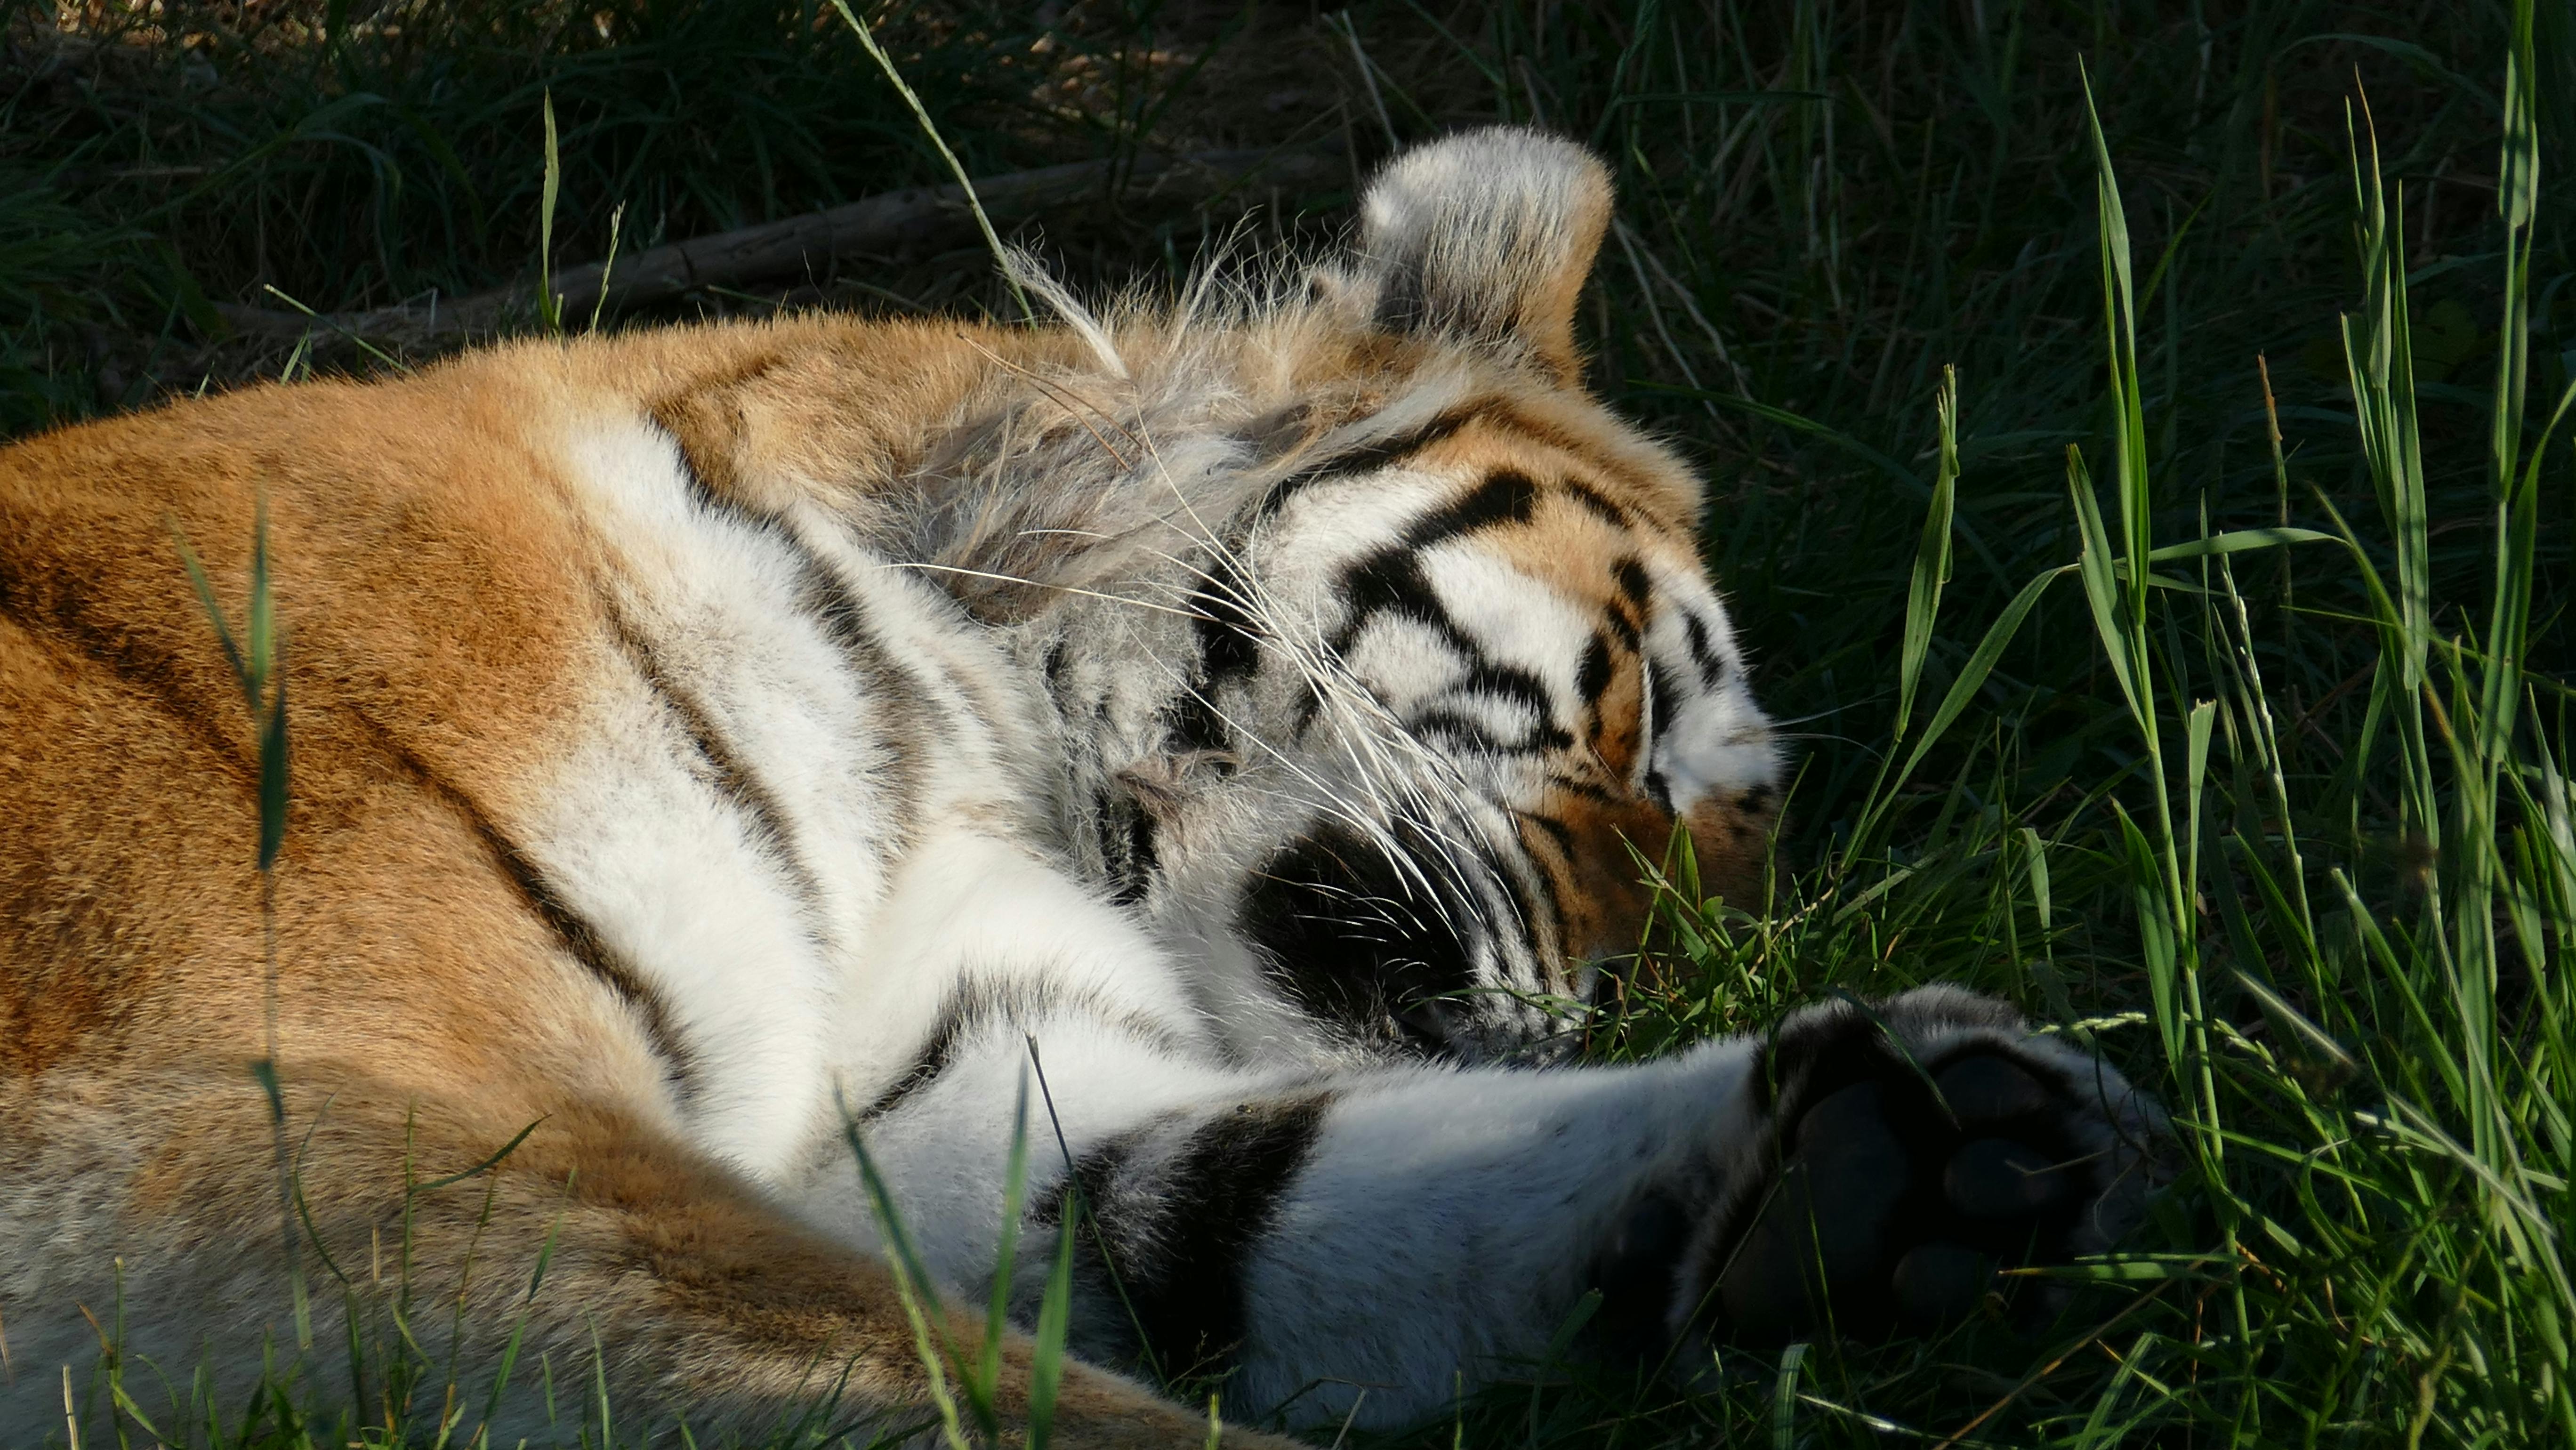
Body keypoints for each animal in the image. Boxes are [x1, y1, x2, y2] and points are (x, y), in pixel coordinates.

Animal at [0, 127, 2161, 1446]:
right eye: (1632, 722)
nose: (1660, 982)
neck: (967, 738)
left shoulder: (945, 1094)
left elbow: (1269, 1197)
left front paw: (1930, 1149)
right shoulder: (286, 1114)